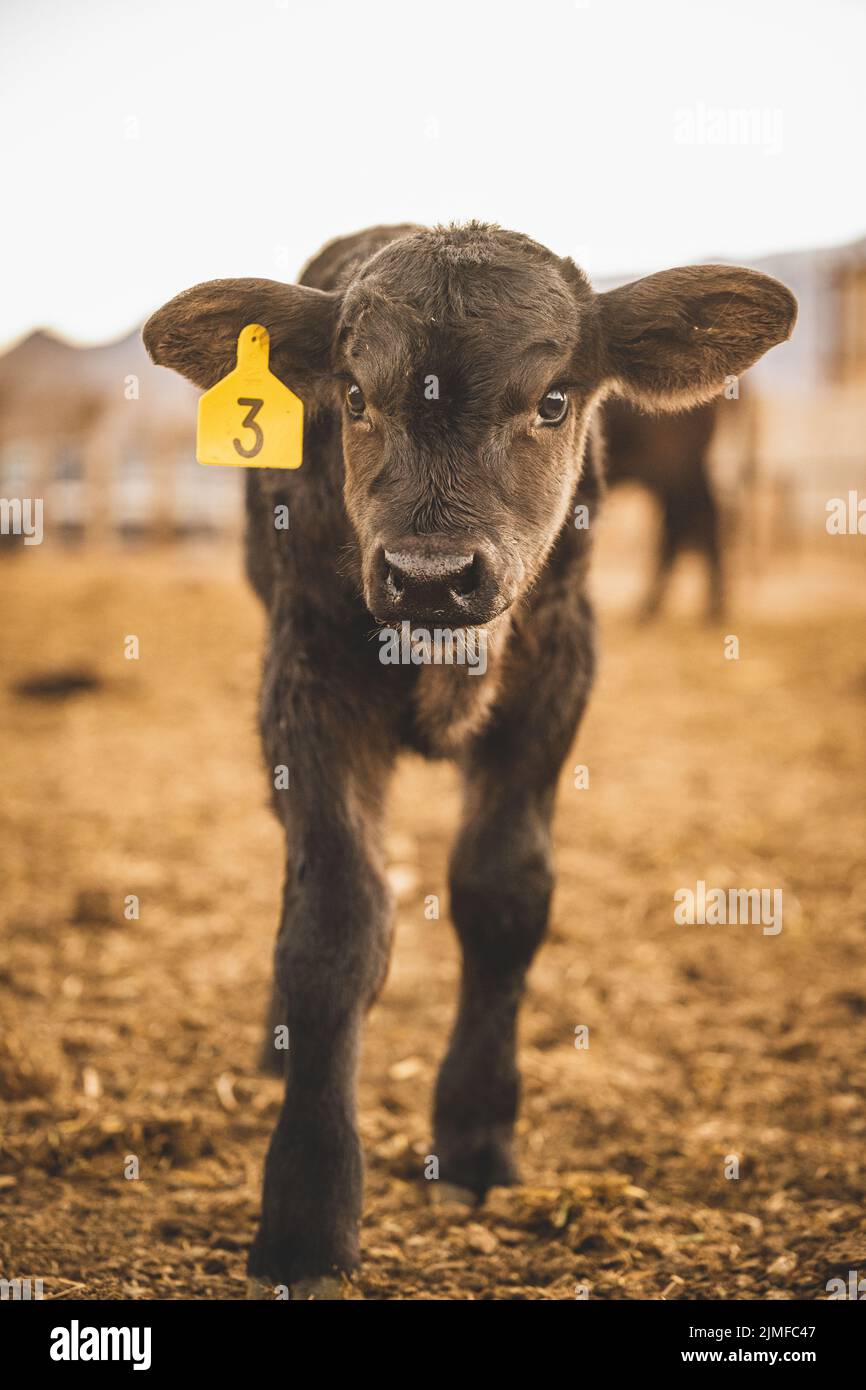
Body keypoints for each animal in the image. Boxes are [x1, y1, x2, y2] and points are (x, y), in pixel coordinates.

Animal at [143, 222, 796, 1296]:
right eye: (354, 397)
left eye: (554, 401)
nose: (430, 576)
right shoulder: (303, 683)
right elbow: (333, 922)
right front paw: (307, 1211)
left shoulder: (558, 672)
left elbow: (503, 895)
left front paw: (477, 1137)